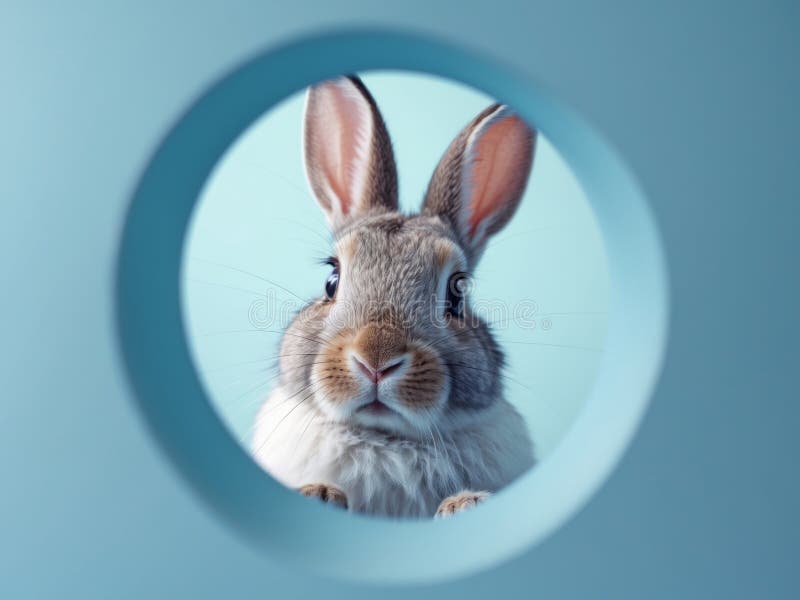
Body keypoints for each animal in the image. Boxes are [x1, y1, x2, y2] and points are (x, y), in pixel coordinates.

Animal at [252, 75, 536, 519]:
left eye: (457, 293)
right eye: (331, 279)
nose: (376, 361)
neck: (385, 440)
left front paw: (465, 503)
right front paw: (319, 492)